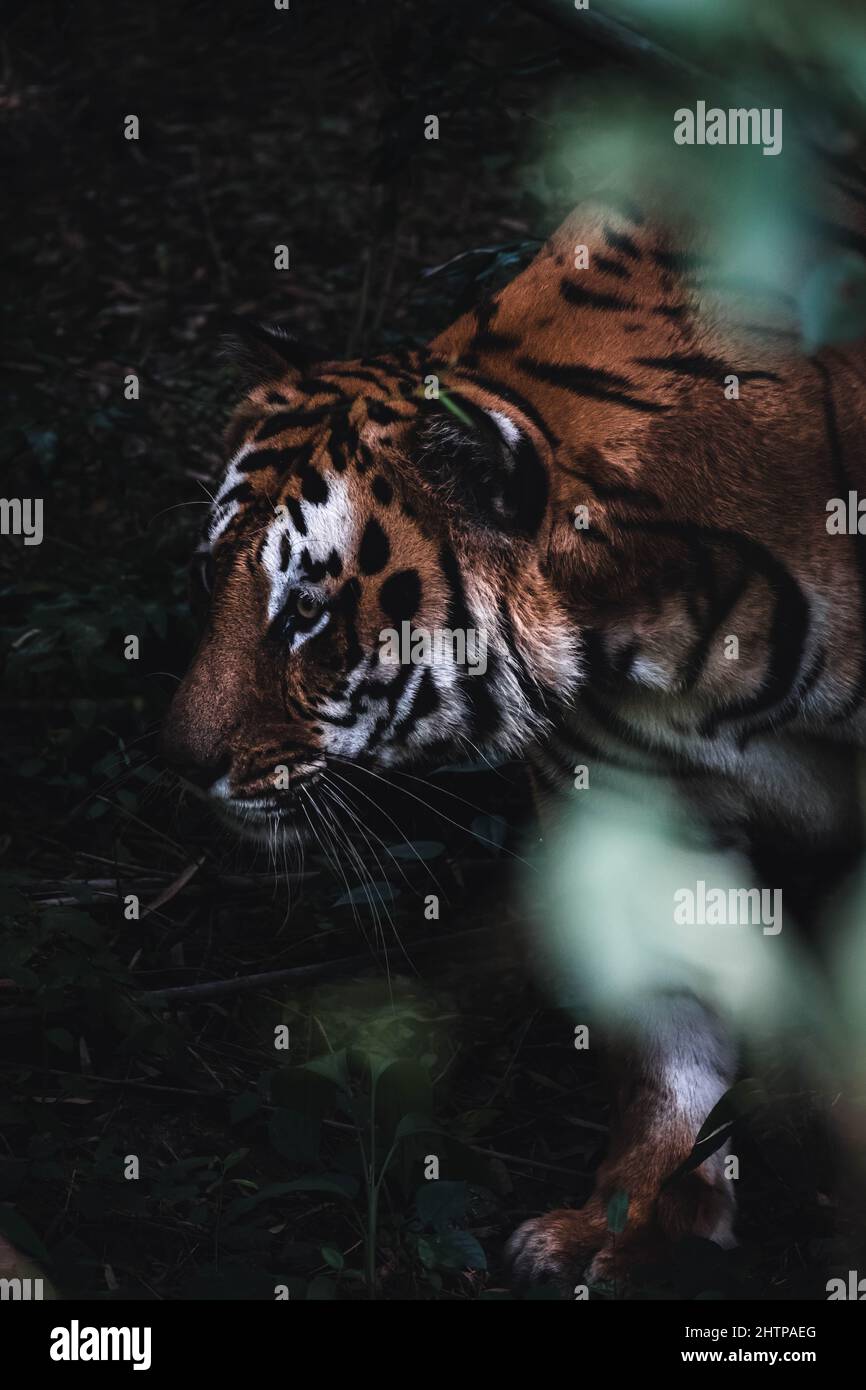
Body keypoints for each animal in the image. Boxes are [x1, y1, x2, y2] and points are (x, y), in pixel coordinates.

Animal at [162, 146, 866, 1291]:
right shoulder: (635, 797)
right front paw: (627, 1222)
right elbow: (670, 1029)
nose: (180, 761)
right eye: (204, 578)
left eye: (305, 613)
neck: (654, 638)